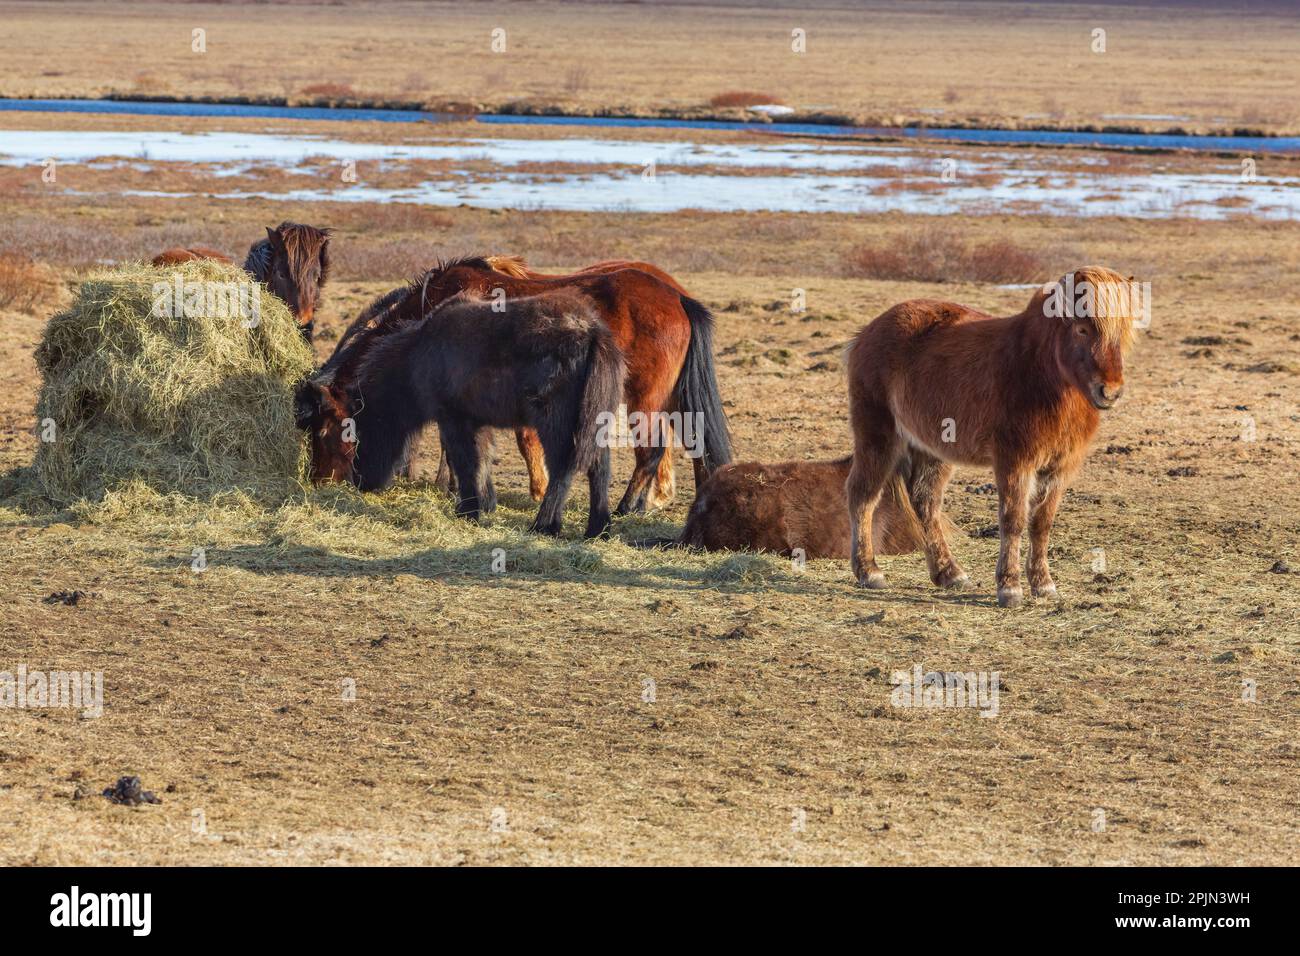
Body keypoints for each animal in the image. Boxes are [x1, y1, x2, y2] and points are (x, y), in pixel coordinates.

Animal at [298, 288, 624, 538]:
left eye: (328, 431)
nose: (361, 482)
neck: (416, 355)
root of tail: (593, 333)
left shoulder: (453, 418)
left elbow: (465, 461)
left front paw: (468, 510)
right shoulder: (476, 420)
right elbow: (482, 459)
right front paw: (484, 504)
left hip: (554, 424)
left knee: (563, 467)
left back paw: (545, 526)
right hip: (594, 423)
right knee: (599, 468)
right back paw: (598, 530)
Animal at [305, 256, 732, 514]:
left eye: (327, 431)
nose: (321, 482)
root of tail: (677, 297)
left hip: (644, 398)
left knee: (652, 451)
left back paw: (627, 507)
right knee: (694, 444)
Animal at [845, 266, 1141, 607]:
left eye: (1123, 331)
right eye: (1082, 329)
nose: (1110, 392)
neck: (1042, 374)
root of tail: (867, 332)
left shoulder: (1060, 467)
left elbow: (1042, 523)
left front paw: (1044, 585)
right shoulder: (1015, 461)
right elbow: (1013, 521)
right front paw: (1010, 588)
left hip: (933, 448)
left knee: (925, 501)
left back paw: (949, 574)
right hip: (878, 436)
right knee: (863, 494)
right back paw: (869, 572)